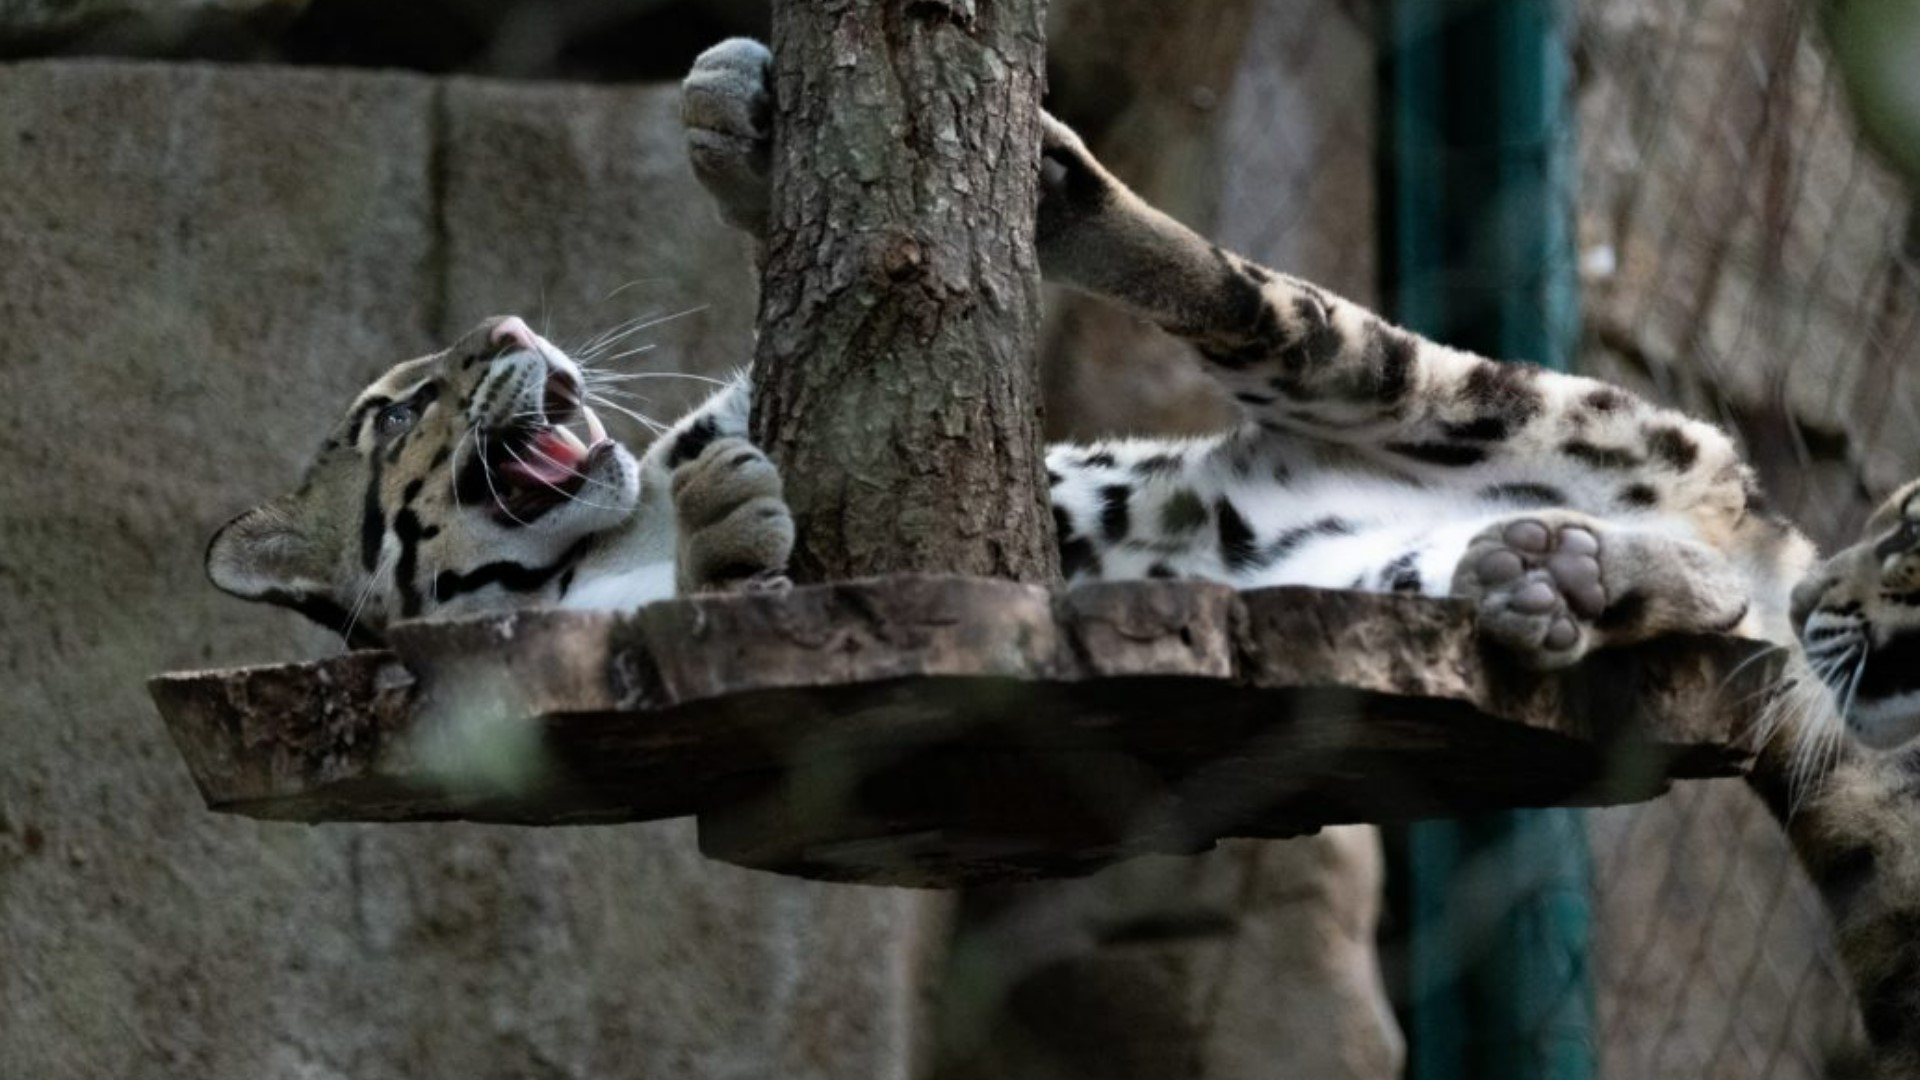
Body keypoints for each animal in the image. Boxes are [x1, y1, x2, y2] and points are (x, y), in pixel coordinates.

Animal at [208, 37, 1814, 680]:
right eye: (393, 409)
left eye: (471, 351)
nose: (511, 331)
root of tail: (1747, 527)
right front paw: (726, 534)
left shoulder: (725, 400)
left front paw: (738, 140)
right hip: (1414, 561)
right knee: (1710, 609)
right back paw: (1564, 575)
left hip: (1399, 379)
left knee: (1242, 302)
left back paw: (1054, 194)